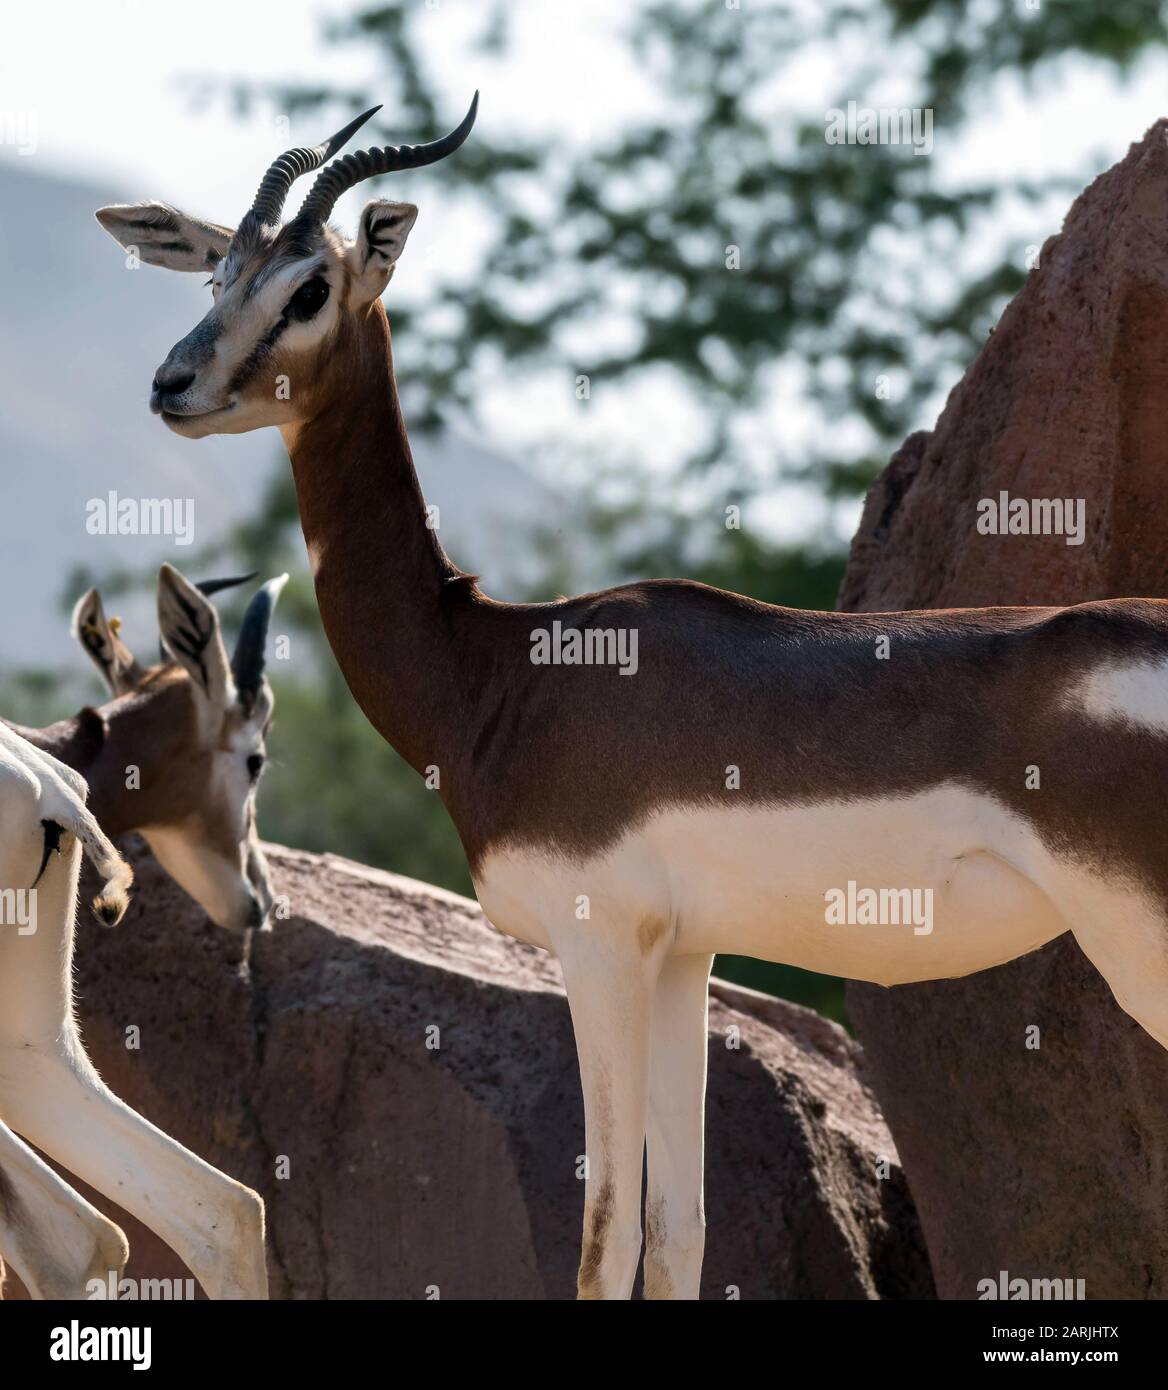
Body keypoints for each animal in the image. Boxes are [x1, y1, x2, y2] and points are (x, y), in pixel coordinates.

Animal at [97, 99, 1168, 1301]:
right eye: (217, 275)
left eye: (308, 287)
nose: (174, 385)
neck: (497, 669)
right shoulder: (682, 961)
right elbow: (678, 1229)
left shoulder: (597, 947)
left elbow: (604, 1231)